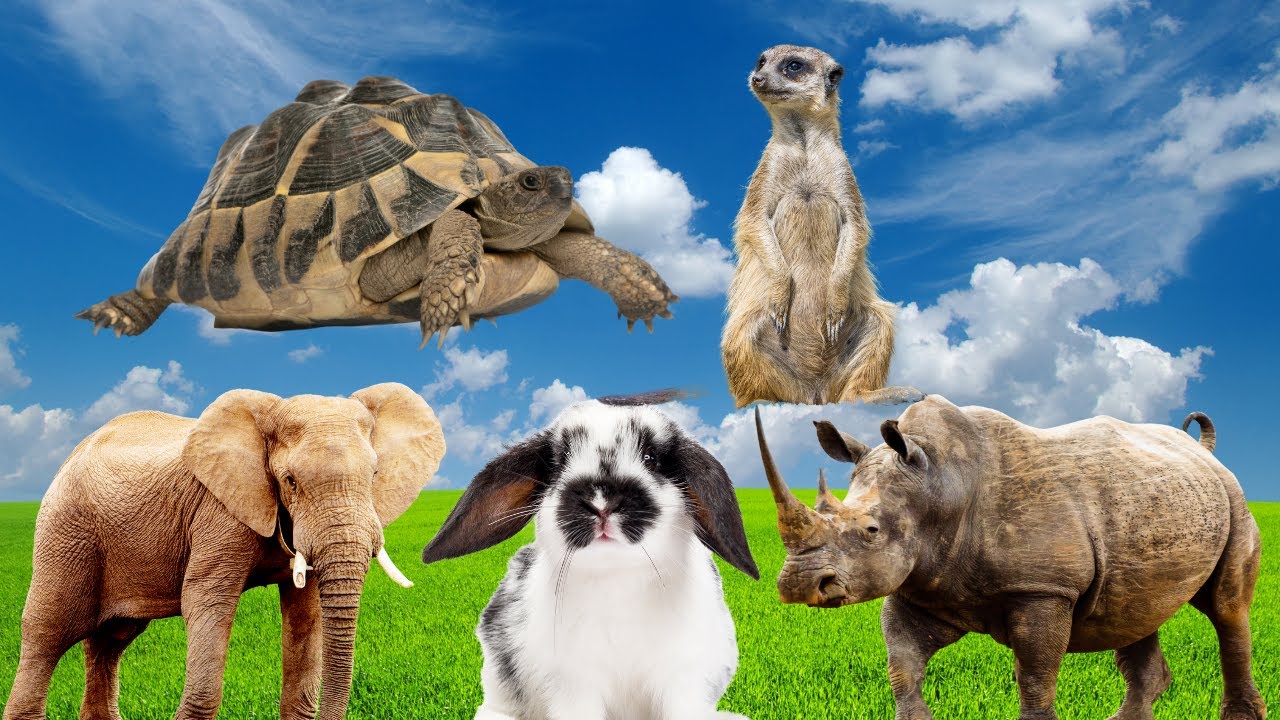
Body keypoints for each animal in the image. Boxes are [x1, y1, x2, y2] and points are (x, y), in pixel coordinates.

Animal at [3, 382, 445, 720]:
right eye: (290, 481)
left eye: (374, 475)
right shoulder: (218, 511)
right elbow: (205, 598)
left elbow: (307, 612)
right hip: (65, 530)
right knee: (48, 632)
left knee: (110, 640)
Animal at [422, 390, 759, 720]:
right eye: (559, 462)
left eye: (651, 458)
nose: (600, 501)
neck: (618, 580)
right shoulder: (572, 686)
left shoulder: (684, 680)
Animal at [754, 395, 1265, 720]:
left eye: (870, 531)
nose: (799, 584)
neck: (940, 485)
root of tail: (1201, 451)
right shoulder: (921, 583)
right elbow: (903, 667)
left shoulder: (1044, 589)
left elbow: (1035, 678)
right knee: (1133, 610)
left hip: (1233, 498)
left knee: (1226, 606)